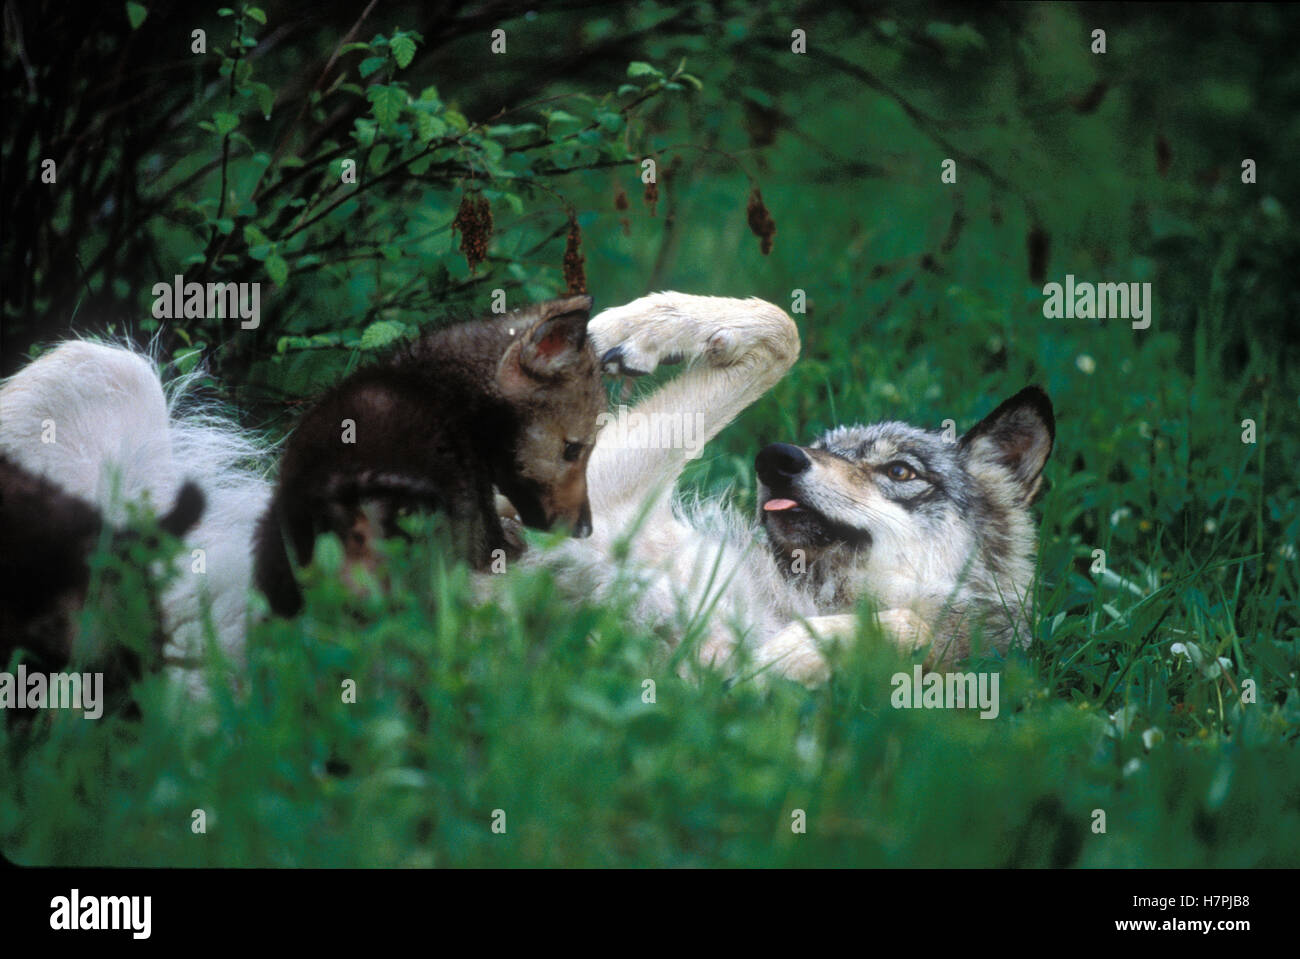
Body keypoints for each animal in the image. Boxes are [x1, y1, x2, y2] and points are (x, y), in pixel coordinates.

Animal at [534, 293, 1055, 686]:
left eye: (900, 472)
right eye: (823, 449)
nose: (776, 459)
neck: (816, 594)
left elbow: (914, 628)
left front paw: (781, 658)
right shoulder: (600, 506)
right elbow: (783, 327)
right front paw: (632, 328)